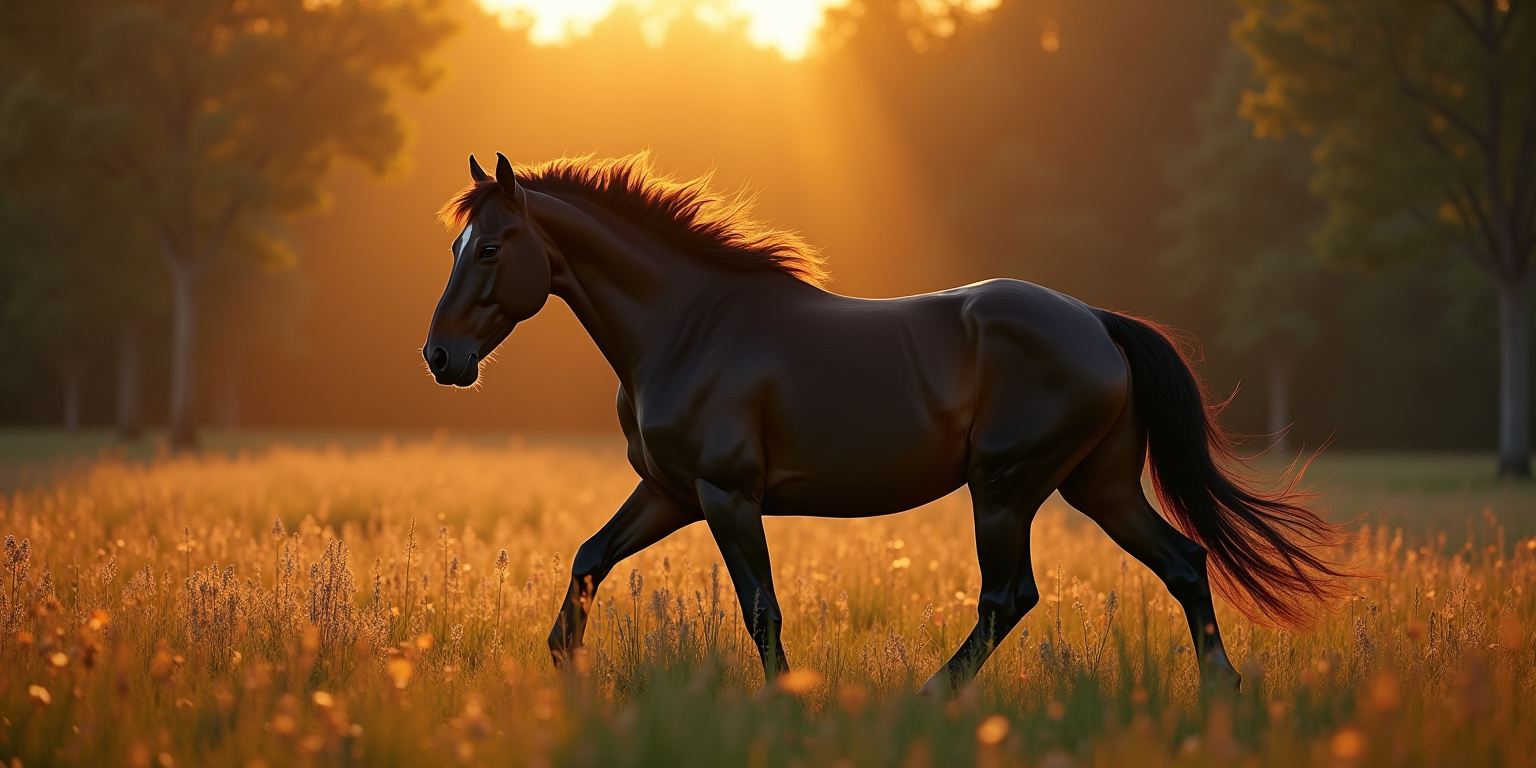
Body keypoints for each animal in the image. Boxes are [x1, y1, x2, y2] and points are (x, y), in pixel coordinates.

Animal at [422, 152, 1351, 697]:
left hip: (1006, 487)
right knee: (1185, 562)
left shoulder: (727, 494)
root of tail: (1095, 321)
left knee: (1010, 596)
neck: (689, 325)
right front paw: (562, 668)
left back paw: (932, 698)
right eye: (458, 245)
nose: (440, 356)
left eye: (494, 246)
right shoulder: (669, 492)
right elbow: (589, 559)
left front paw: (785, 705)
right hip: (1102, 487)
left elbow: (761, 608)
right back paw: (1221, 693)